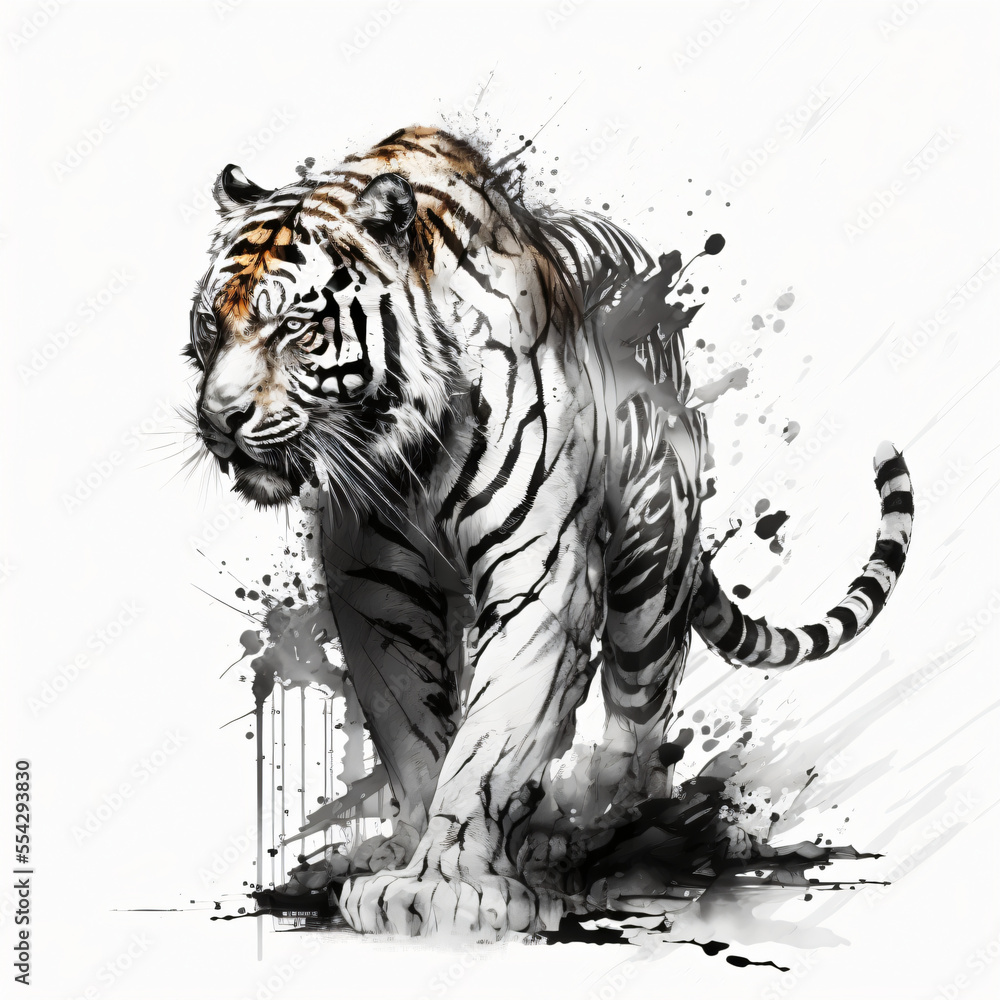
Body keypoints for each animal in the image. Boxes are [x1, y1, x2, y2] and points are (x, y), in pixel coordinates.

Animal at [187, 126, 913, 937]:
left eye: (293, 327)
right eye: (212, 324)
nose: (219, 419)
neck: (403, 449)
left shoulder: (541, 572)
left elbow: (493, 733)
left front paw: (446, 886)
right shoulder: (373, 581)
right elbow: (412, 727)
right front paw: (403, 855)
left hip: (650, 572)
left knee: (640, 724)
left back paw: (614, 843)